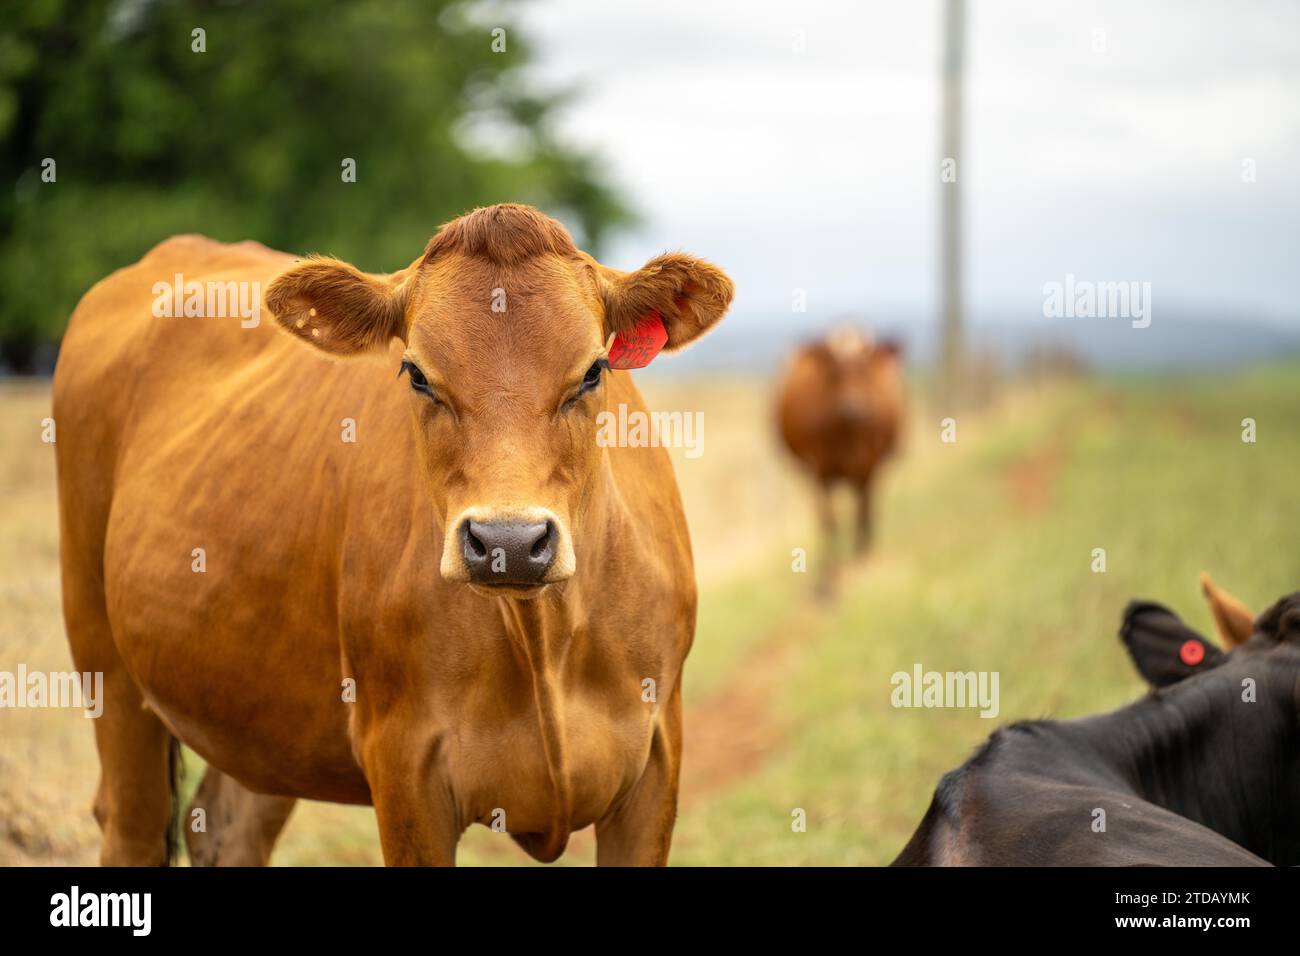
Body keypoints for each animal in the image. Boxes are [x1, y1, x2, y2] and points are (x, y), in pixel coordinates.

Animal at [53, 203, 734, 866]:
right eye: (416, 374)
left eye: (594, 370)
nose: (508, 543)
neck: (545, 641)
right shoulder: (405, 770)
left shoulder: (654, 766)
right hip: (104, 657)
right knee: (132, 828)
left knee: (225, 828)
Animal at [774, 327, 903, 595]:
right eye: (834, 373)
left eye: (865, 371)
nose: (853, 410)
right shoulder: (818, 471)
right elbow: (830, 523)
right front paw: (826, 584)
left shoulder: (869, 469)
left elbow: (863, 514)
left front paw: (862, 564)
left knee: (866, 511)